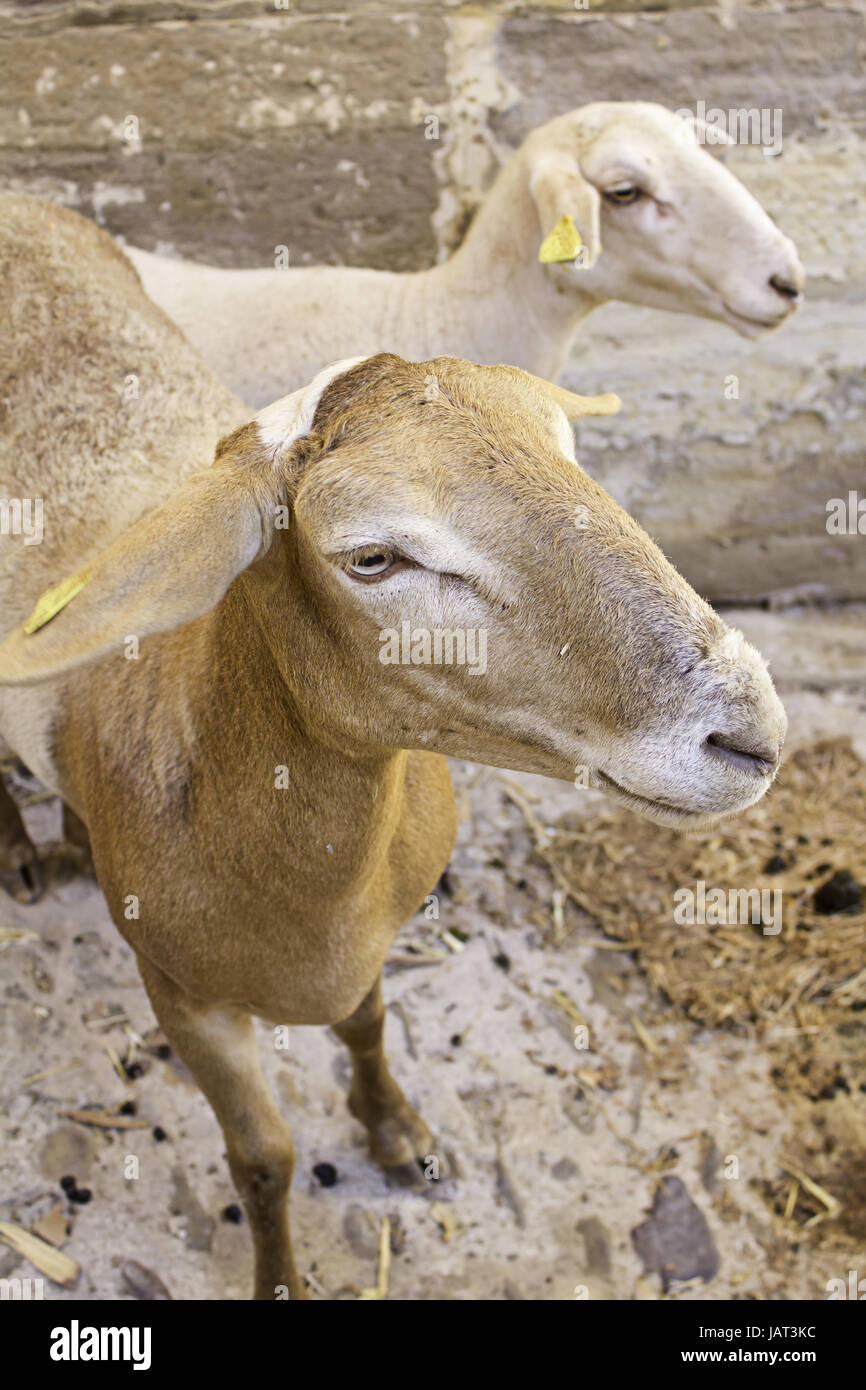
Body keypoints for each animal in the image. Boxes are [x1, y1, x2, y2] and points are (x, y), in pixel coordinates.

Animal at [0, 194, 787, 1298]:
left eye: (571, 458)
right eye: (372, 557)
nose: (746, 732)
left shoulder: (373, 933)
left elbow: (368, 1026)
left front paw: (399, 1134)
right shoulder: (185, 998)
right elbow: (263, 1158)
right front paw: (282, 1276)